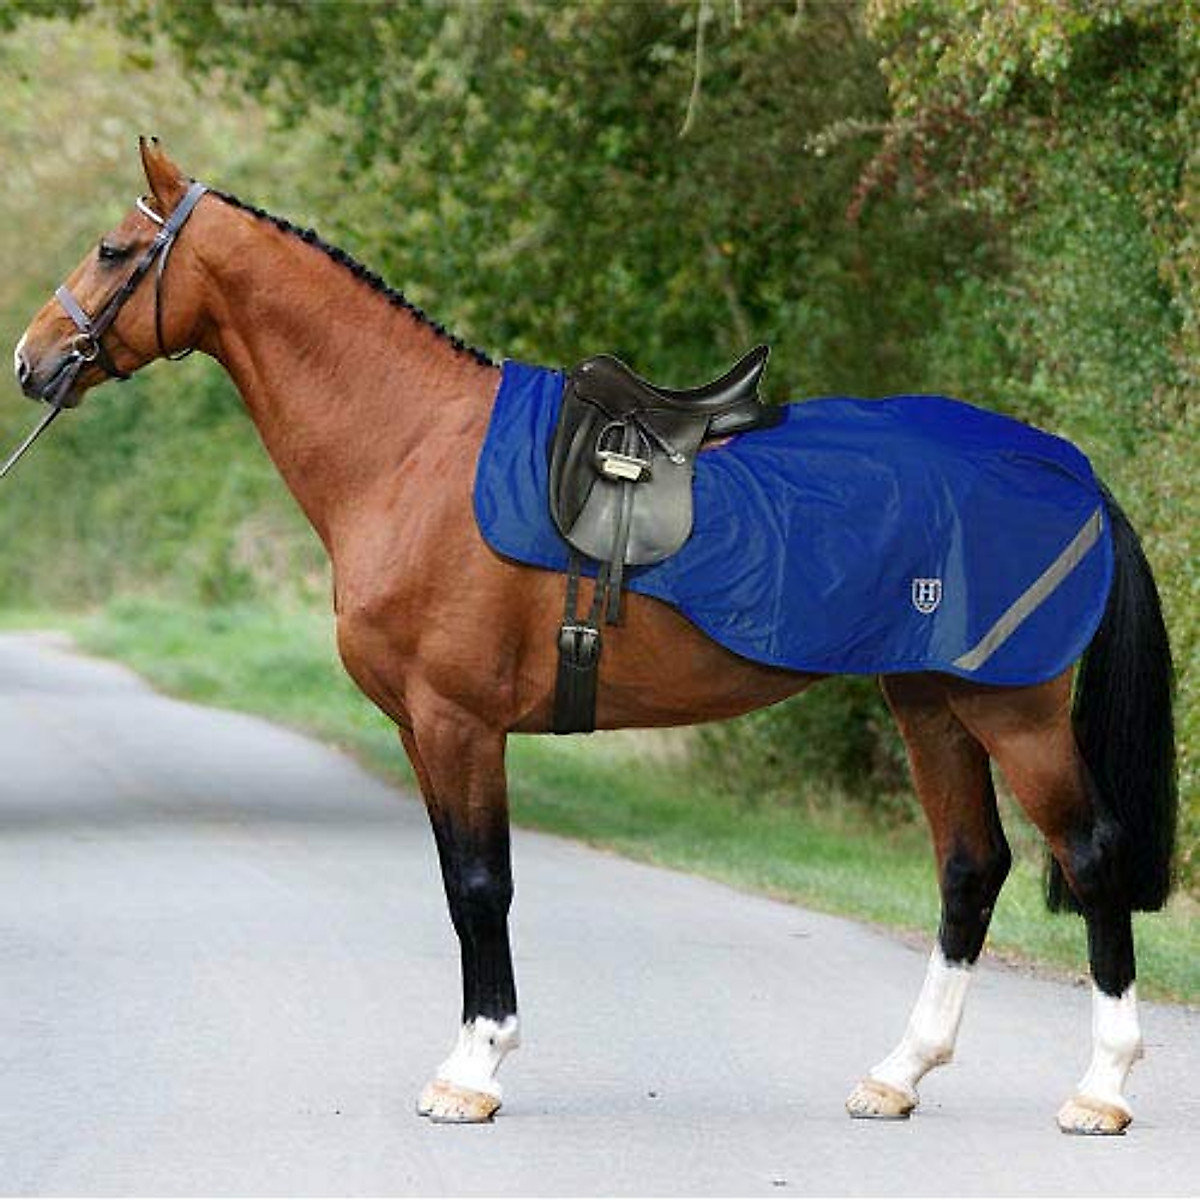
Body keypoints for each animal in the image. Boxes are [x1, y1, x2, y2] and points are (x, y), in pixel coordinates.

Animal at [12, 141, 1176, 1134]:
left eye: (113, 249)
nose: (31, 361)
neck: (412, 451)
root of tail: (1069, 470)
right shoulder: (421, 733)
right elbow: (458, 886)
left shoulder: (459, 722)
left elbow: (482, 886)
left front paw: (473, 1073)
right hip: (930, 701)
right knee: (969, 866)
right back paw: (898, 1075)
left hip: (1011, 711)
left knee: (1092, 856)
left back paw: (1101, 1090)